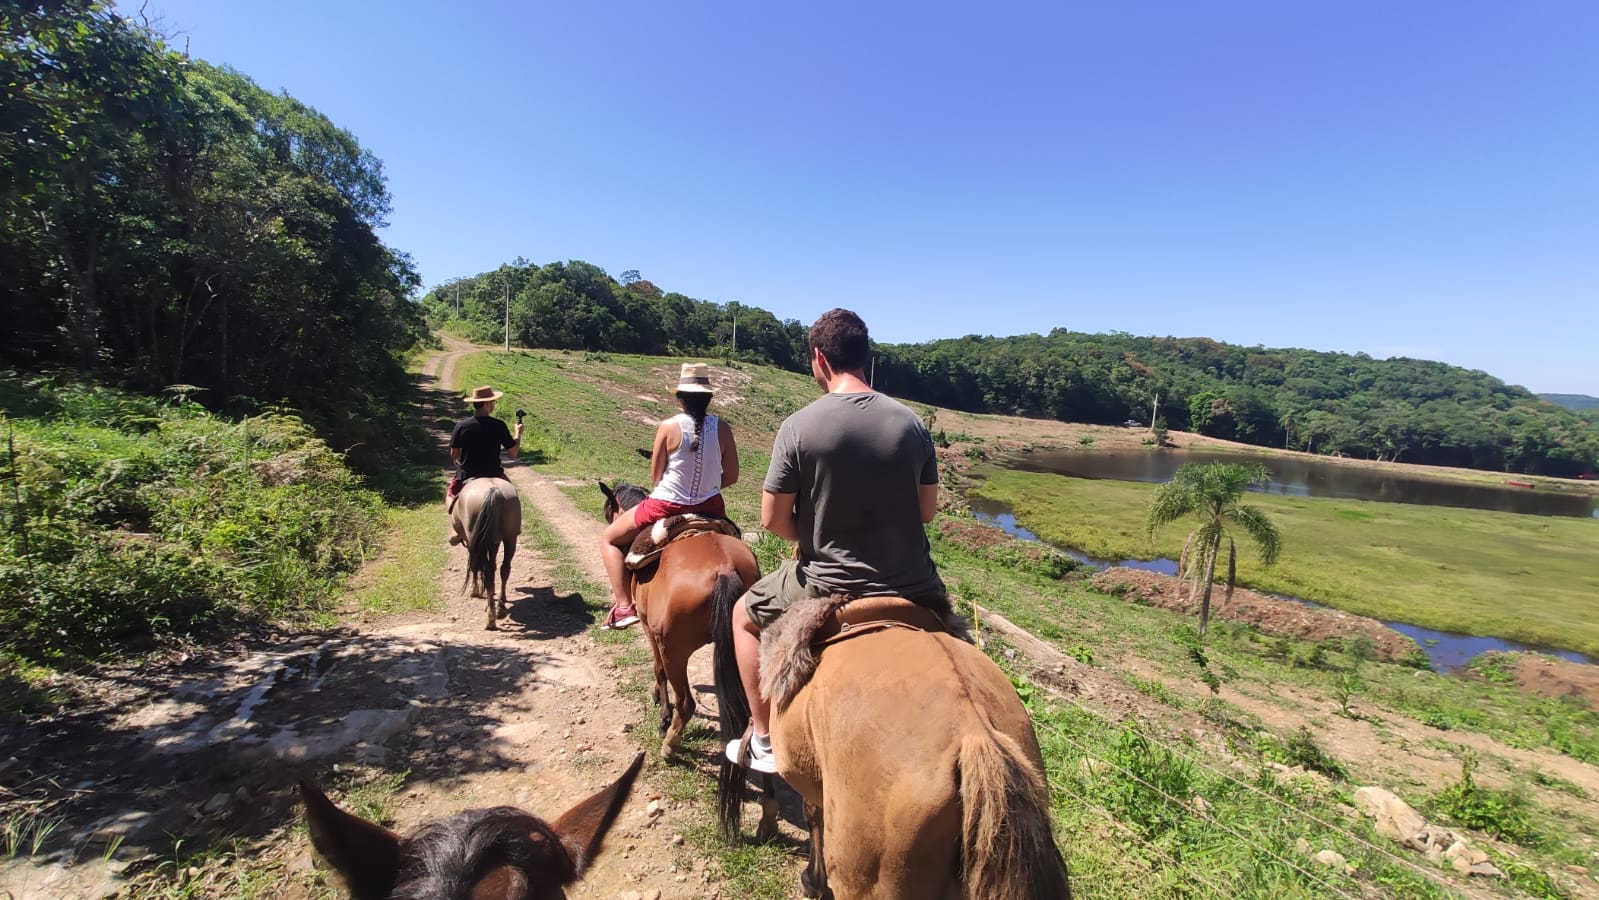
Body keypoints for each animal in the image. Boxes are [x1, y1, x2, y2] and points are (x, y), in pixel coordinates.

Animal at [451, 477, 523, 630]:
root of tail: (493, 491)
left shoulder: (472, 543)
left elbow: (473, 566)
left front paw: (475, 590)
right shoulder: (494, 542)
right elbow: (494, 566)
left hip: (477, 539)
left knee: (485, 570)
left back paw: (491, 617)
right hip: (510, 537)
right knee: (504, 569)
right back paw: (500, 606)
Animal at [599, 481, 761, 758]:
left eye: (609, 510)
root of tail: (725, 568)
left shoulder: (649, 630)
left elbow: (658, 670)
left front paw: (662, 715)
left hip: (674, 649)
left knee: (685, 703)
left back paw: (670, 744)